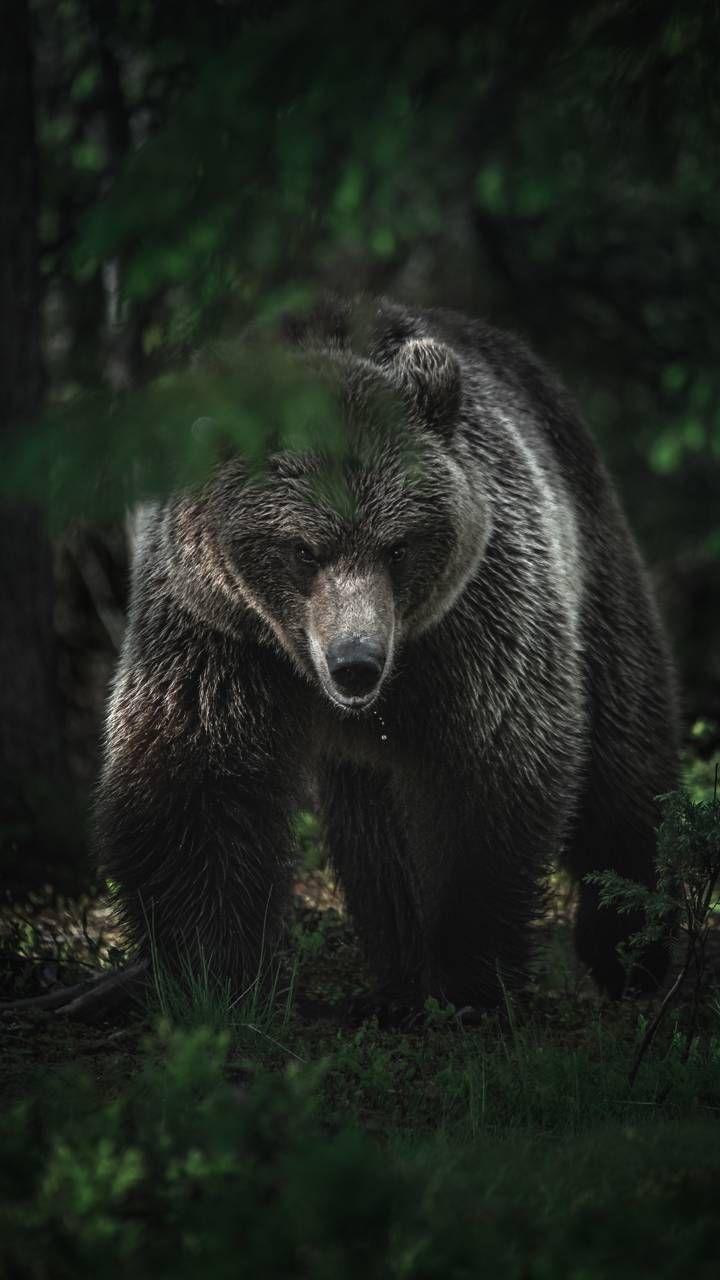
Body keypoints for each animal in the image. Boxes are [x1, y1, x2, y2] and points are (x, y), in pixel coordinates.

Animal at [96, 295, 679, 1010]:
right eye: (302, 549)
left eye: (397, 546)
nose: (356, 663)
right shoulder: (214, 634)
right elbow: (193, 783)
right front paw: (207, 974)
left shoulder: (472, 622)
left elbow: (488, 769)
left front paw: (471, 974)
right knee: (374, 834)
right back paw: (397, 976)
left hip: (592, 555)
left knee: (624, 753)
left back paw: (630, 945)